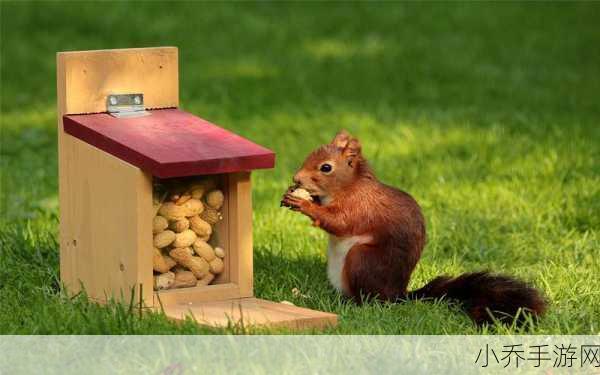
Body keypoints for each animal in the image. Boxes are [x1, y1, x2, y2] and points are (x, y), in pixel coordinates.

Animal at [280, 131, 544, 324]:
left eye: (326, 168)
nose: (296, 178)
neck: (348, 187)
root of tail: (398, 295)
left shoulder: (360, 207)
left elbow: (339, 223)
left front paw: (304, 204)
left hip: (362, 259)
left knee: (370, 299)